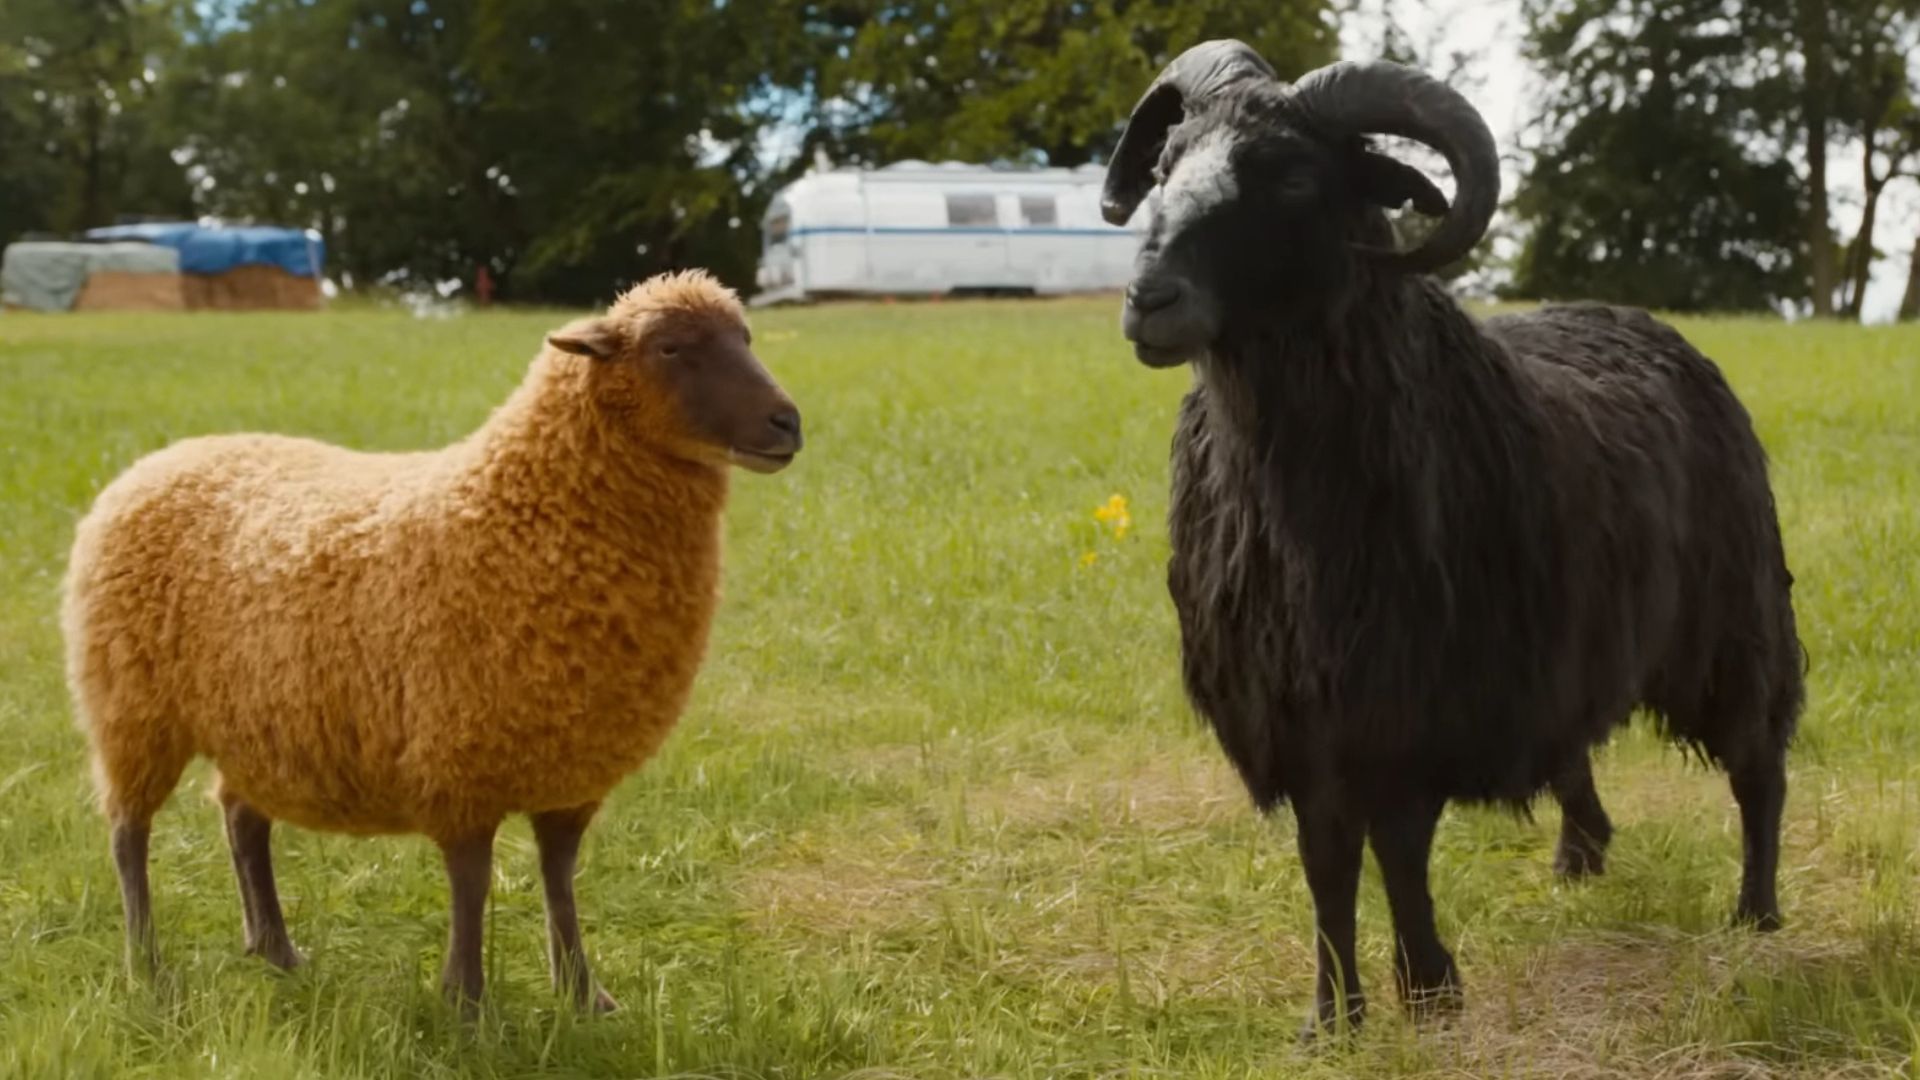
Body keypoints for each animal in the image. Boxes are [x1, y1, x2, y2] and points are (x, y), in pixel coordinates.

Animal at [61, 268, 803, 1014]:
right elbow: (472, 880)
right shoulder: (459, 754)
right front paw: (467, 1001)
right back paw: (147, 965)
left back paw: (274, 948)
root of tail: (160, 459)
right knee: (128, 833)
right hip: (130, 706)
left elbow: (560, 875)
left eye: (746, 337)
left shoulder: (570, 761)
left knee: (242, 818)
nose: (788, 423)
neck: (526, 507)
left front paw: (583, 993)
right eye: (670, 348)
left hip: (259, 720)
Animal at [1100, 42, 1803, 1037]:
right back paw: (1580, 861)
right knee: (1577, 753)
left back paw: (1757, 914)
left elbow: (1398, 849)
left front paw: (1429, 990)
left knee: (1757, 765)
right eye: (1164, 165)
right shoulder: (1299, 710)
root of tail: (1633, 318)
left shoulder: (1413, 701)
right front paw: (1333, 1018)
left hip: (1732, 617)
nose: (1149, 298)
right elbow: (1326, 864)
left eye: (1293, 177)